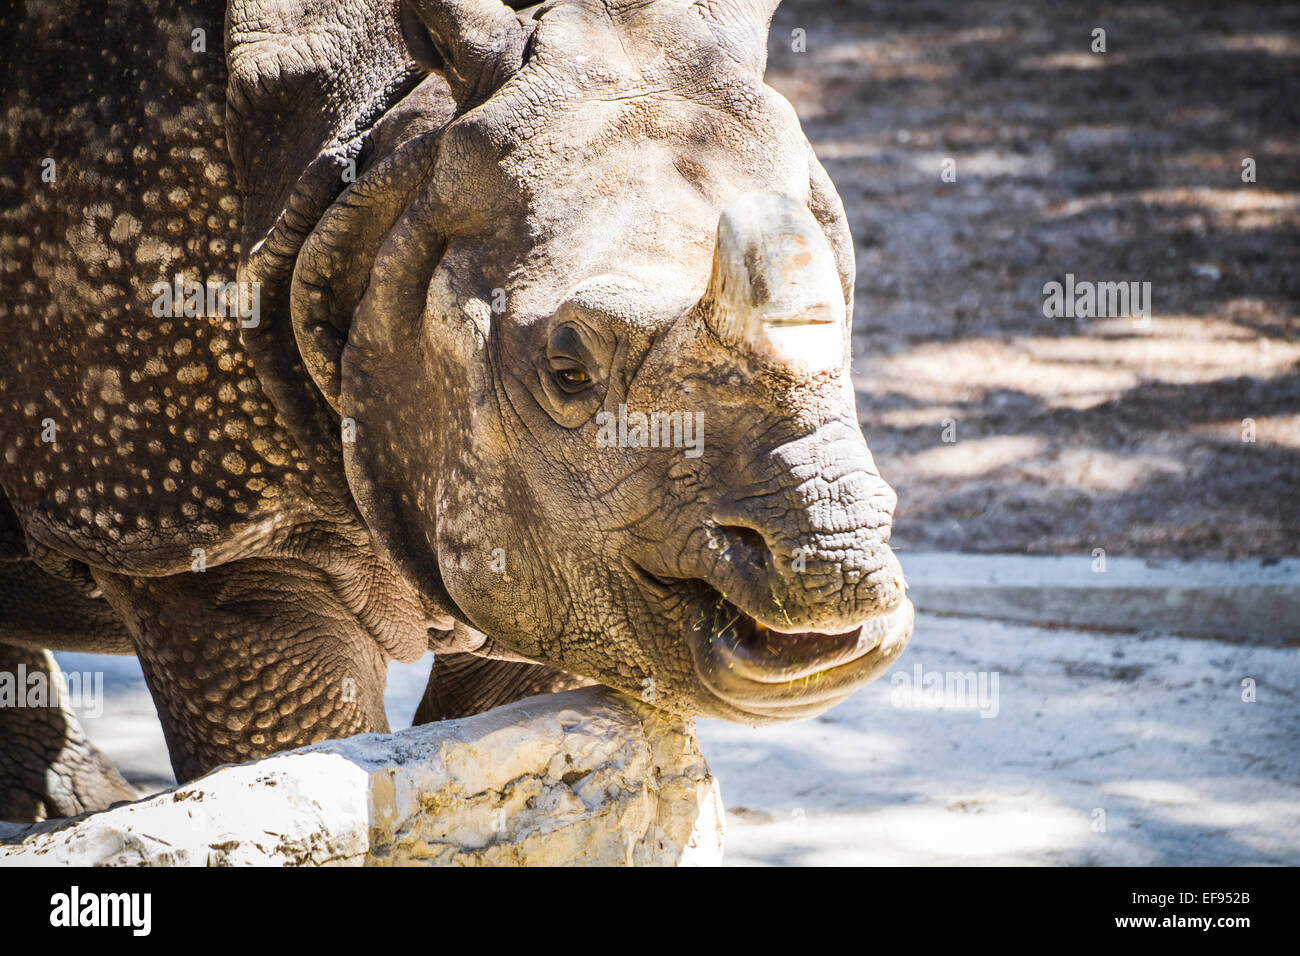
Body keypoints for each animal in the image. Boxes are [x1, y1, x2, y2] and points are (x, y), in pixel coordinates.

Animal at [0, 0, 912, 821]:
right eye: (569, 373)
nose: (837, 567)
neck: (392, 168)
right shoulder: (178, 527)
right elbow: (288, 750)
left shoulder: (568, 560)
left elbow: (494, 736)